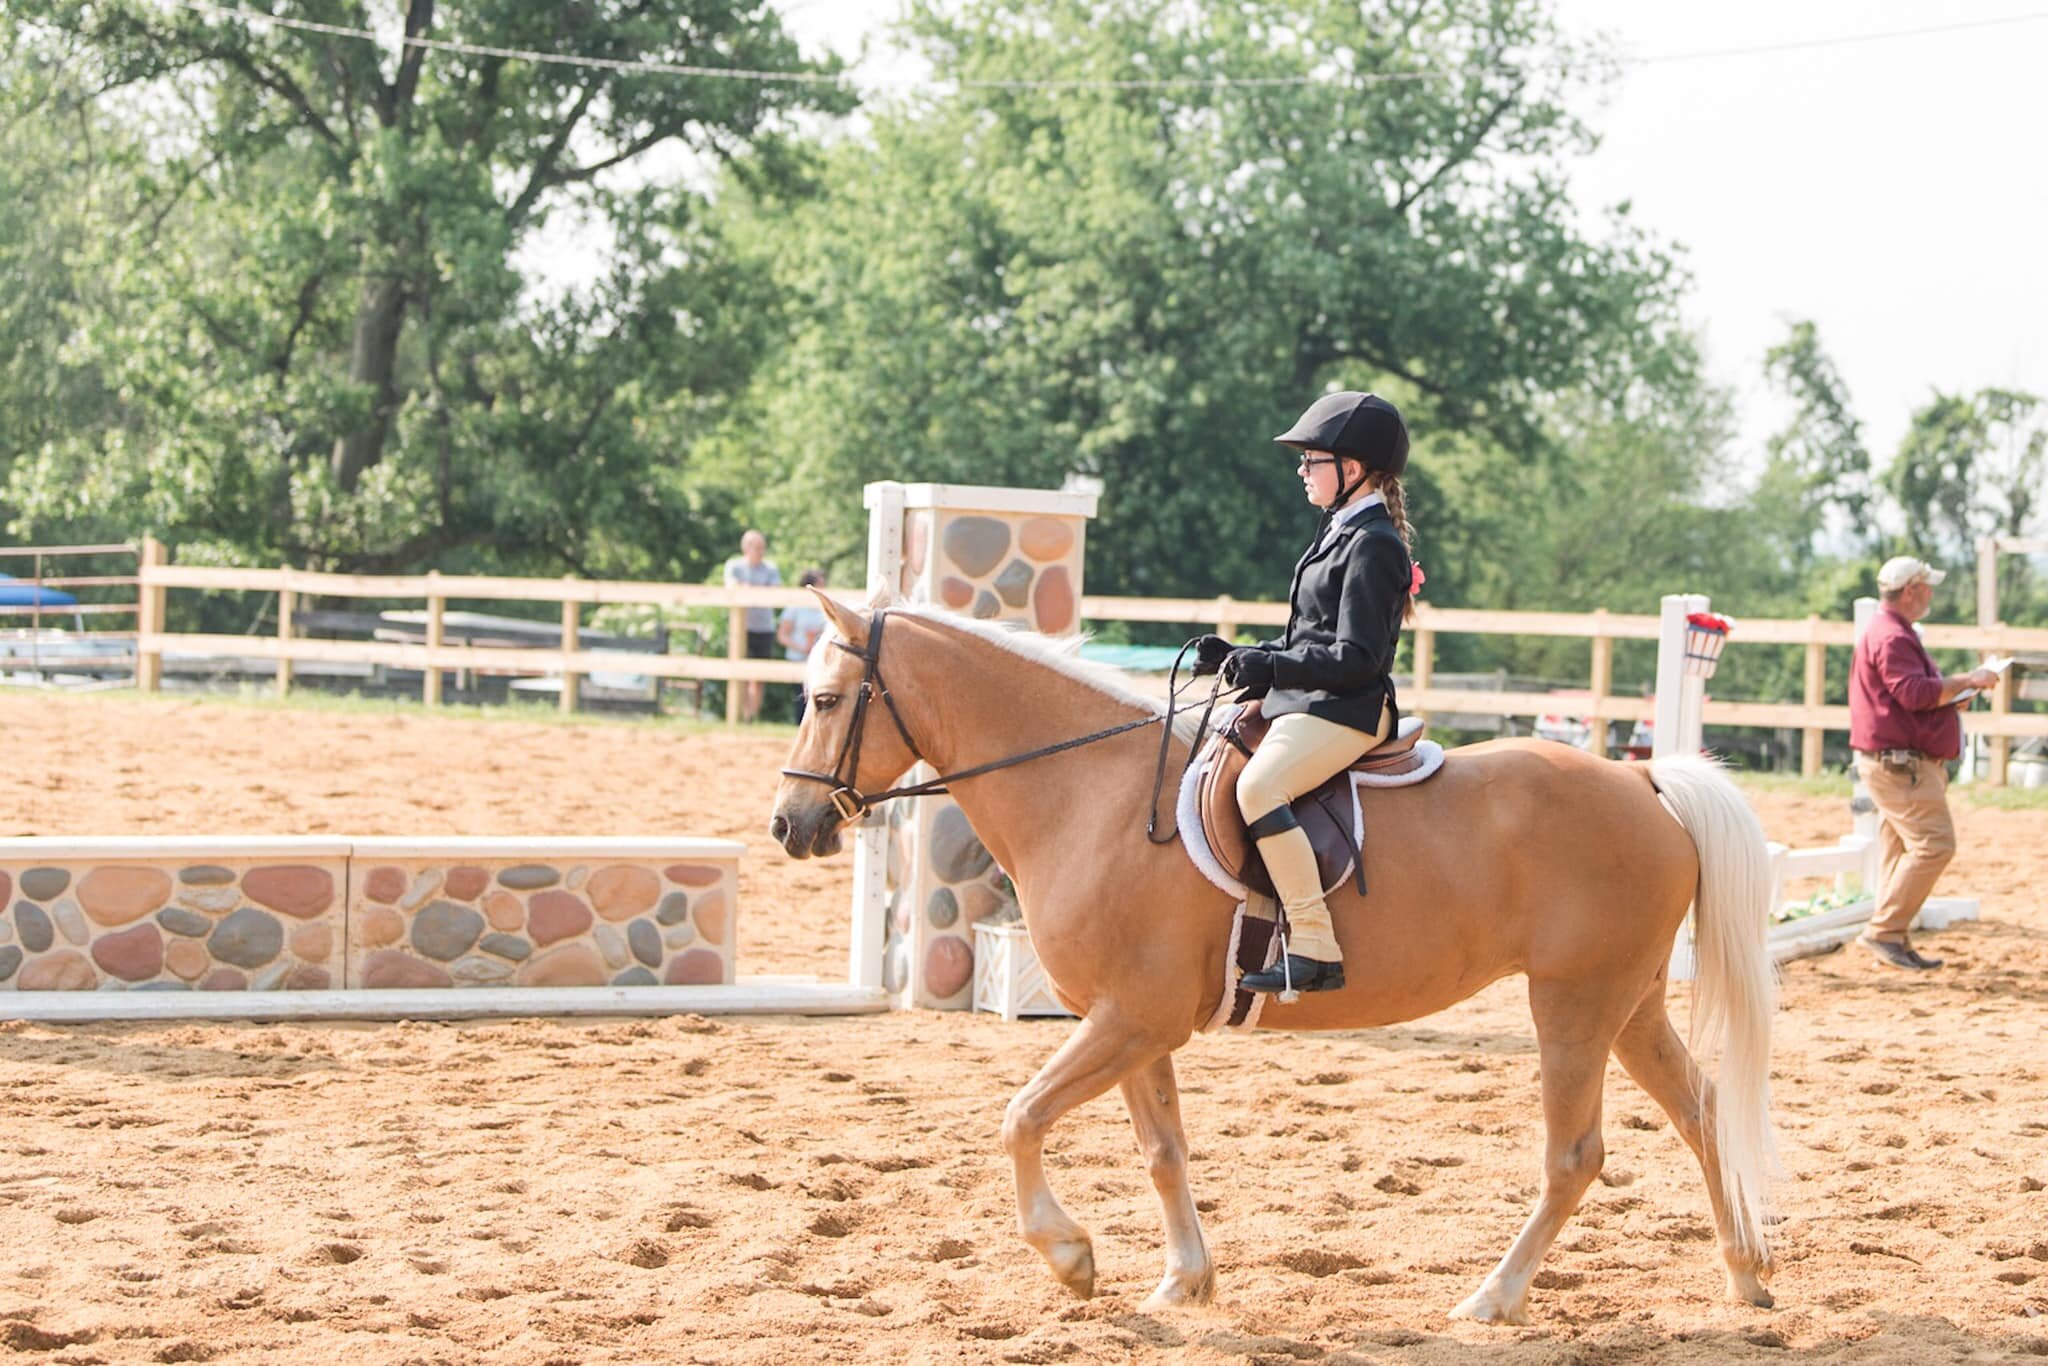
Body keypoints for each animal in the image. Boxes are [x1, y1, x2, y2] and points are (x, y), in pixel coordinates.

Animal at [769, 592, 1779, 1324]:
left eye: (824, 701)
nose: (788, 826)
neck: (1088, 792)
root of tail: (1646, 783)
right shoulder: (1133, 1025)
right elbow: (1162, 1148)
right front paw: (1183, 1281)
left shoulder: (1130, 1019)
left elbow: (1020, 1117)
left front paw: (1072, 1258)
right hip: (1629, 1006)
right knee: (1703, 1112)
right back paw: (1747, 1273)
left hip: (1573, 1005)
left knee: (1574, 1155)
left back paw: (1493, 1299)